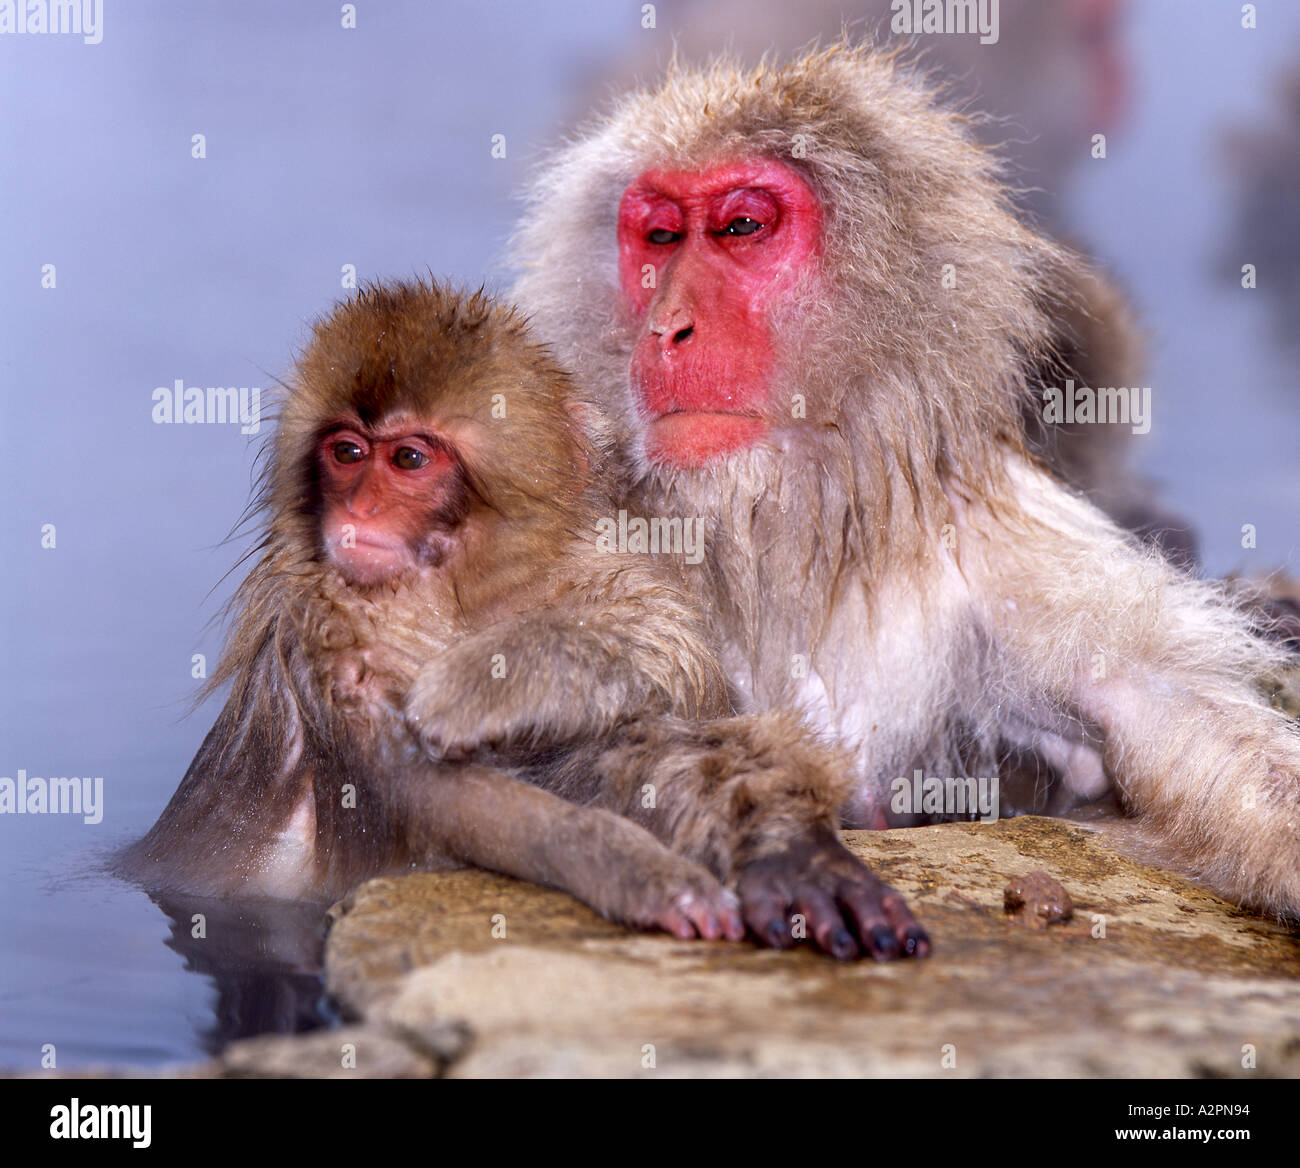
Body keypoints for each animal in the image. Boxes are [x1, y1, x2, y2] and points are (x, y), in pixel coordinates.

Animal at [119, 279, 929, 961]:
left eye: (408, 459)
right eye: (347, 452)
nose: (359, 512)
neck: (461, 597)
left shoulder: (579, 567)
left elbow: (669, 659)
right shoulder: (332, 625)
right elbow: (443, 796)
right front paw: (629, 865)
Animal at [510, 43, 1300, 918]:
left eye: (741, 227)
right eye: (658, 236)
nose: (665, 326)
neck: (788, 515)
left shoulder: (1007, 542)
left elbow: (1178, 713)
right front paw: (770, 833)